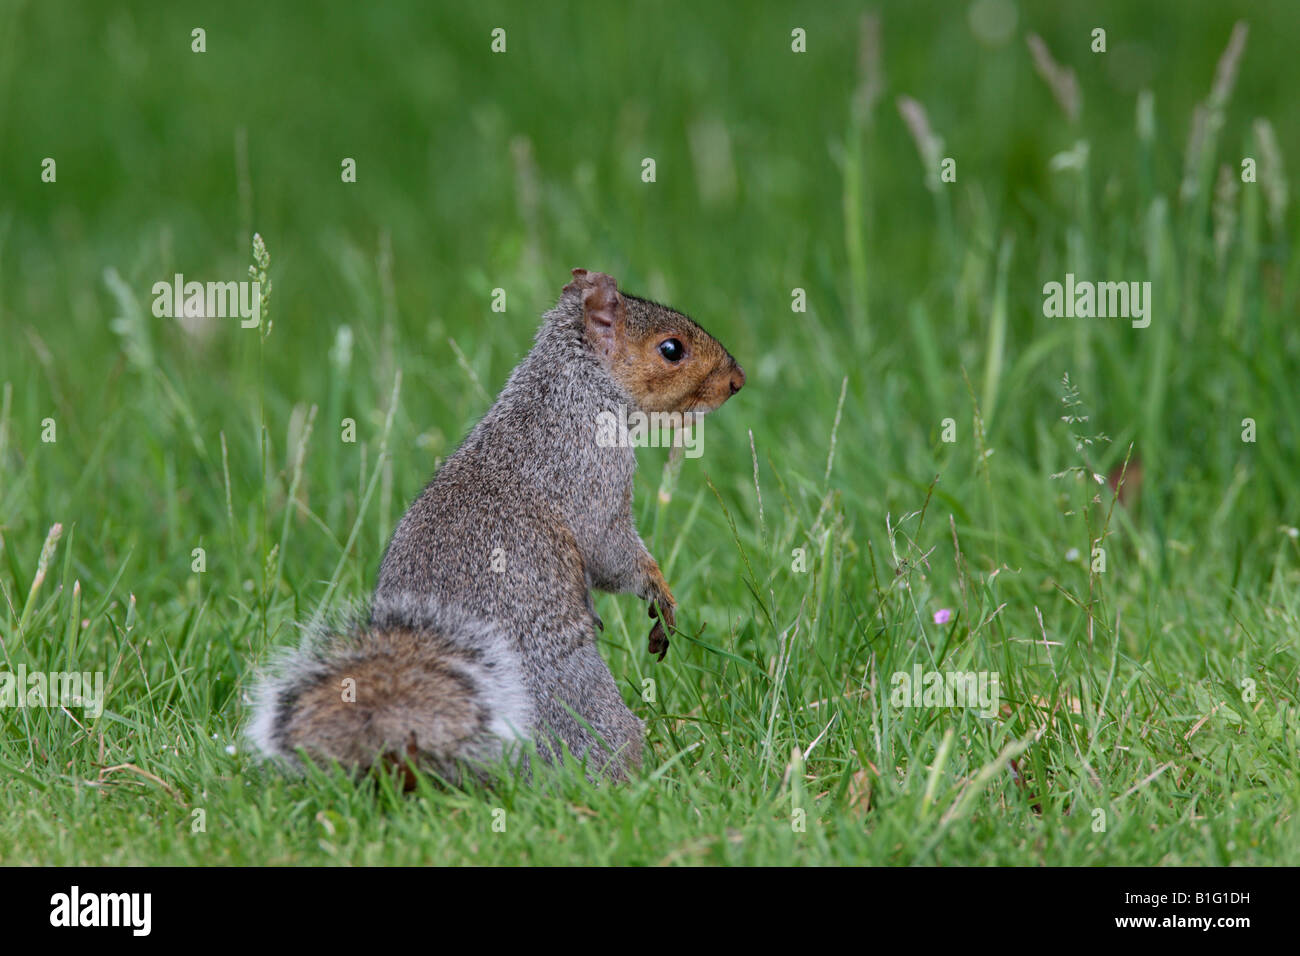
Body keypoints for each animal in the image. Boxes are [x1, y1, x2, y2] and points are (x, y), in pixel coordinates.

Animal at [247, 269, 745, 784]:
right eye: (671, 349)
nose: (737, 381)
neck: (572, 394)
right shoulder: (590, 478)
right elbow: (610, 552)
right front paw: (660, 592)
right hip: (586, 707)